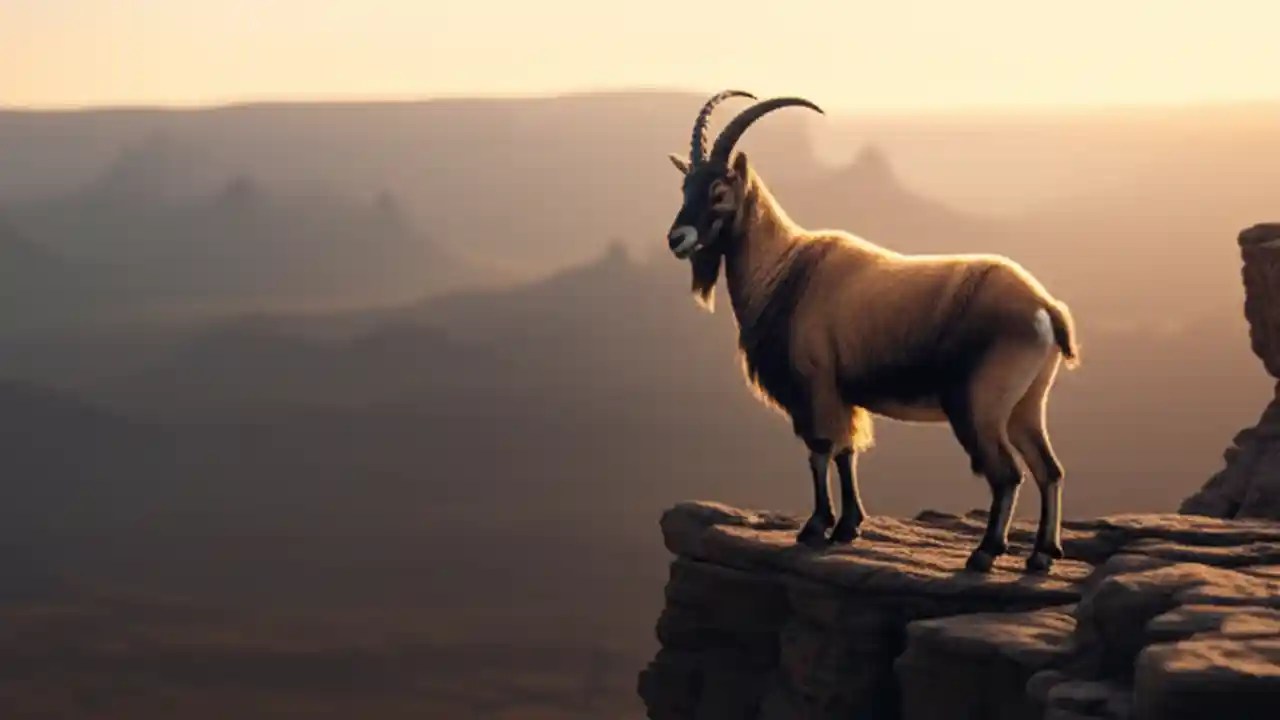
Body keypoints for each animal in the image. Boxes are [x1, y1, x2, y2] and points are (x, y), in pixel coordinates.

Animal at [663, 91, 1080, 573]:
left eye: (718, 190)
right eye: (685, 188)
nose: (677, 239)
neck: (787, 269)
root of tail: (1045, 306)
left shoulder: (816, 386)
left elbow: (821, 448)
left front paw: (816, 527)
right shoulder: (840, 393)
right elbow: (847, 453)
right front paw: (847, 527)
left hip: (981, 407)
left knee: (1006, 472)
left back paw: (985, 552)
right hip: (1026, 406)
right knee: (1048, 469)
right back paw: (1042, 554)